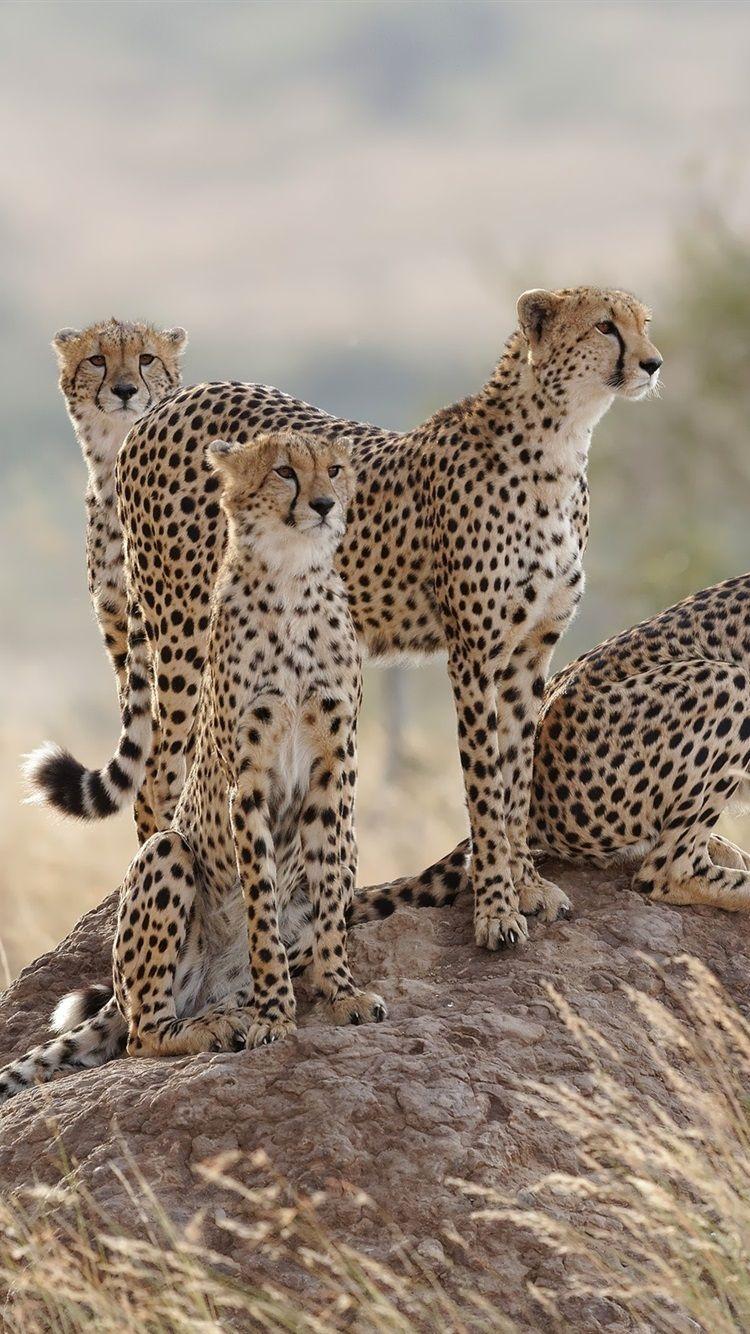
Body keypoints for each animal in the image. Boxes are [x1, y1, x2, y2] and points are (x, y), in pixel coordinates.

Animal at [1, 430, 386, 1103]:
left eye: (335, 470)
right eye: (284, 472)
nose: (323, 505)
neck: (292, 580)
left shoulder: (333, 772)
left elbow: (327, 892)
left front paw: (340, 992)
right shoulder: (246, 783)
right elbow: (260, 906)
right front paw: (275, 1017)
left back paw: (238, 1007)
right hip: (167, 855)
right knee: (140, 1036)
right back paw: (215, 1026)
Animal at [26, 287, 662, 952]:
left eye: (643, 323)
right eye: (605, 326)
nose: (653, 363)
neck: (559, 444)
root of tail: (163, 407)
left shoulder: (528, 655)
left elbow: (516, 780)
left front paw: (527, 889)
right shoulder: (474, 656)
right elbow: (486, 786)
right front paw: (495, 912)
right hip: (183, 632)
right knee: (157, 779)